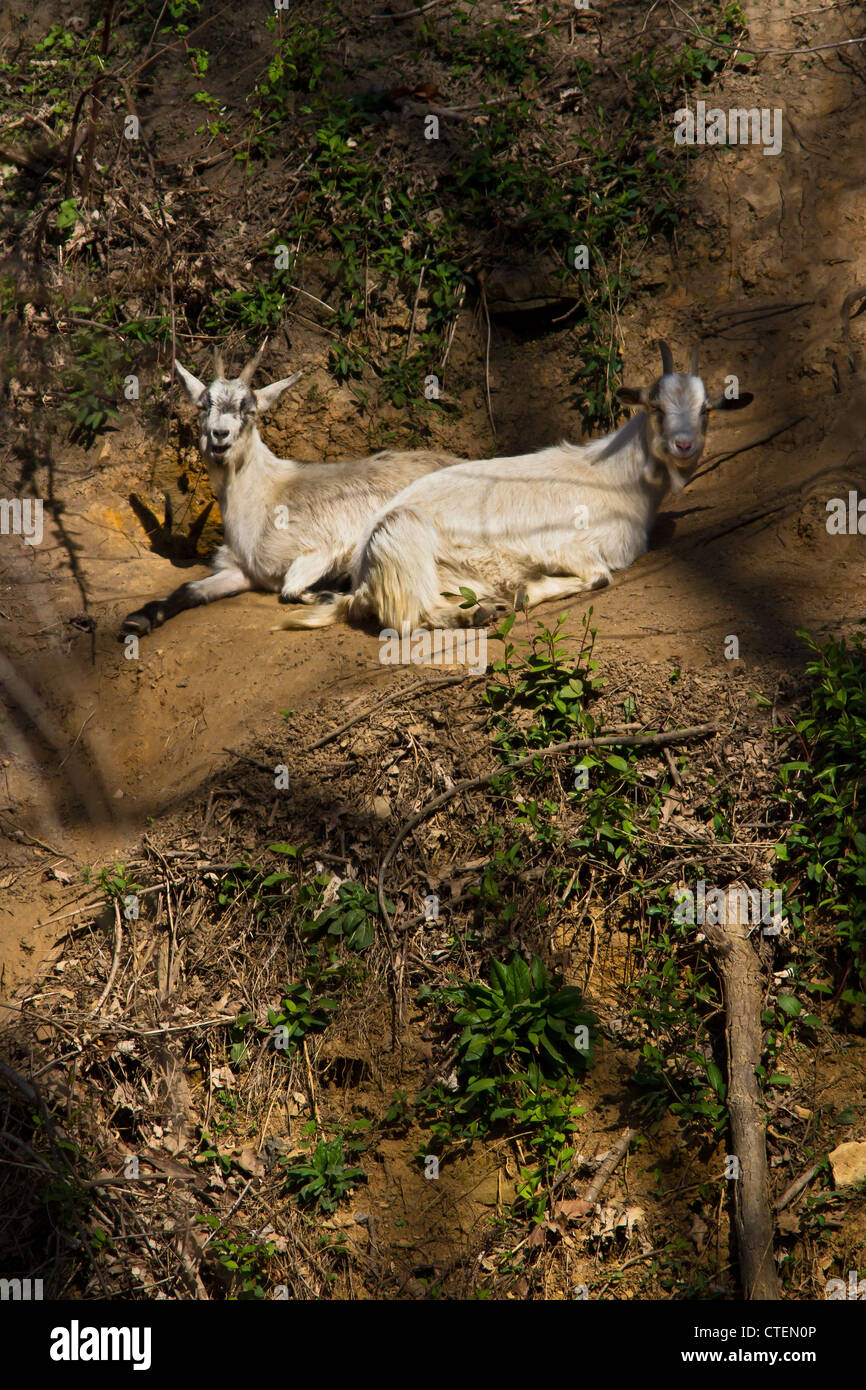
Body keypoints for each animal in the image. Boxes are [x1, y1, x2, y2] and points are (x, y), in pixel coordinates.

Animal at [121, 347, 461, 636]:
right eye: (204, 406)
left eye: (250, 410)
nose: (220, 436)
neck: (263, 495)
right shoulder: (244, 571)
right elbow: (189, 588)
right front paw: (139, 618)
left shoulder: (324, 547)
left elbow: (290, 590)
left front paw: (329, 591)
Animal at [278, 341, 753, 632]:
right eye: (656, 407)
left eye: (706, 410)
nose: (684, 444)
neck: (614, 478)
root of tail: (361, 575)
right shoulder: (565, 544)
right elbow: (599, 577)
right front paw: (529, 590)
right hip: (404, 538)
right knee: (409, 618)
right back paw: (478, 615)